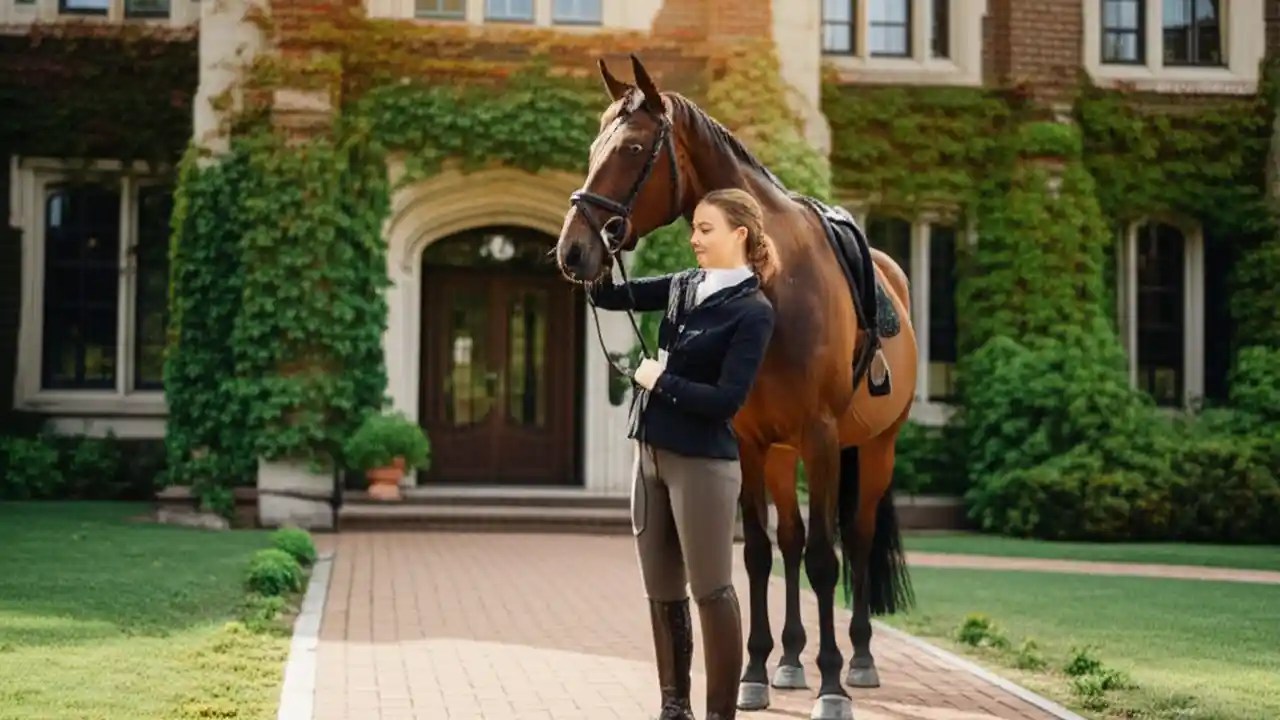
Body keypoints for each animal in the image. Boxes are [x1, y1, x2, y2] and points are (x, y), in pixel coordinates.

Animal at [554, 54, 917, 720]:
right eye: (593, 148)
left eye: (635, 147)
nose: (575, 250)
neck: (777, 279)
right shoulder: (747, 442)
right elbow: (757, 555)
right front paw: (753, 670)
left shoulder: (822, 438)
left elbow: (826, 560)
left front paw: (831, 685)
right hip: (779, 454)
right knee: (791, 542)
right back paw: (792, 660)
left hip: (875, 447)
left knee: (854, 539)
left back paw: (857, 658)